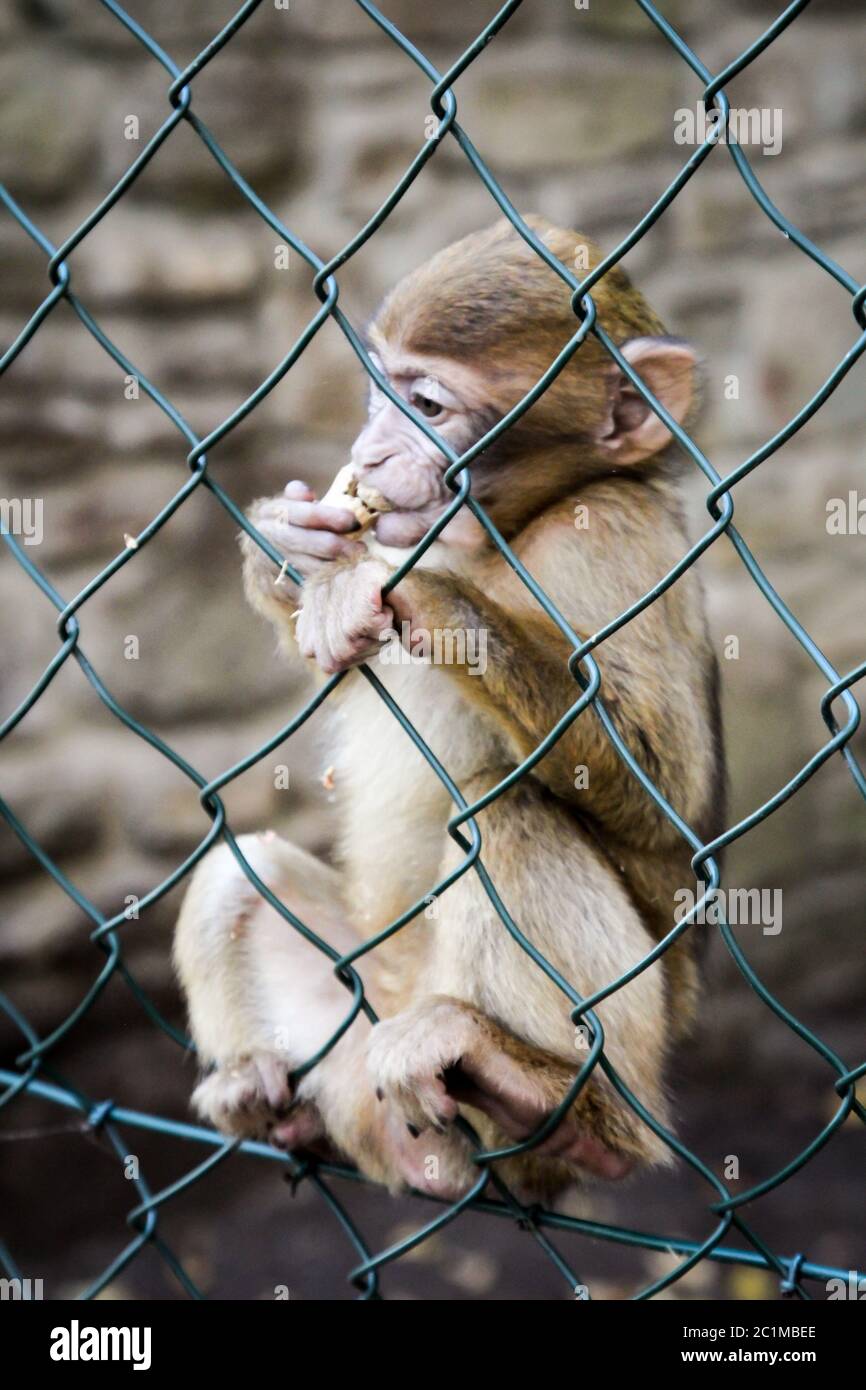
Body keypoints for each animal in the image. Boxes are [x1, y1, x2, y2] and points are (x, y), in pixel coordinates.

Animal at [173, 215, 724, 1205]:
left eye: (427, 406)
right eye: (382, 391)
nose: (370, 451)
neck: (495, 533)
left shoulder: (616, 536)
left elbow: (668, 787)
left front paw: (429, 599)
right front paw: (288, 546)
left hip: (613, 1049)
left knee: (504, 815)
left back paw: (560, 1111)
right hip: (352, 1031)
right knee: (244, 870)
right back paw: (274, 1105)